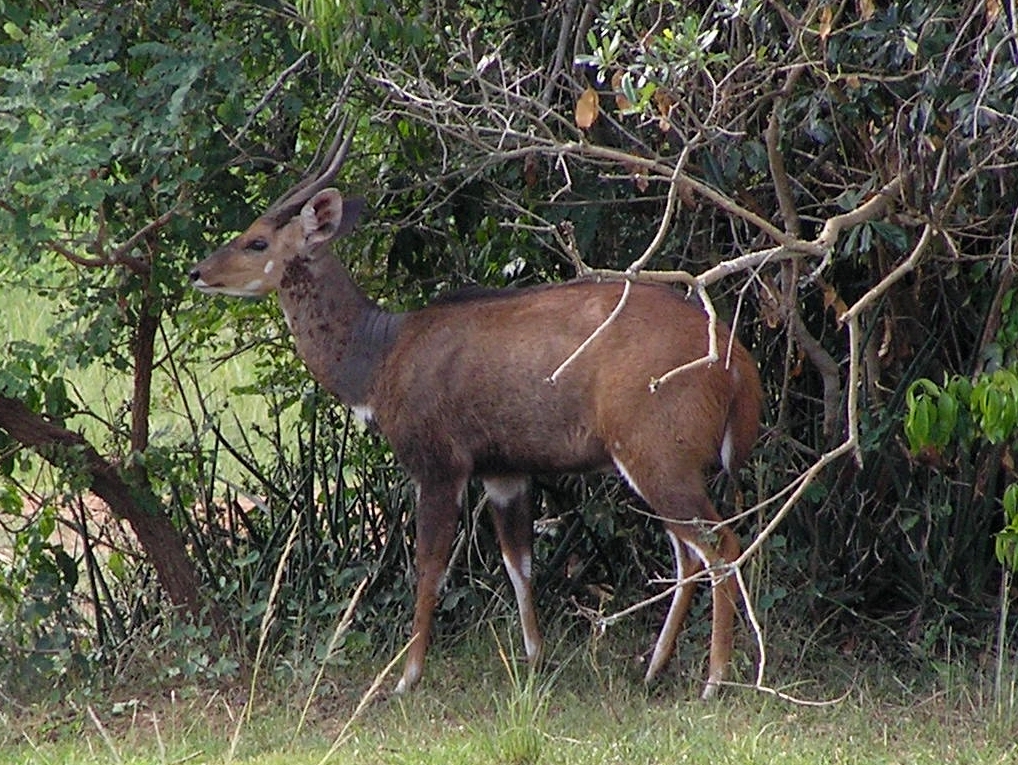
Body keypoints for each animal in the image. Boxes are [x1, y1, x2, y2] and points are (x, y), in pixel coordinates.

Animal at [189, 133, 762, 699]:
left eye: (256, 242)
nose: (198, 272)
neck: (380, 359)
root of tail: (737, 363)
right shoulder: (503, 469)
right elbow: (519, 562)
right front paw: (533, 661)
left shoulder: (439, 463)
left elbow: (429, 566)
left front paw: (406, 677)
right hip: (658, 463)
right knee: (688, 551)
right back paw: (654, 668)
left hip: (656, 454)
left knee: (720, 545)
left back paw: (714, 679)